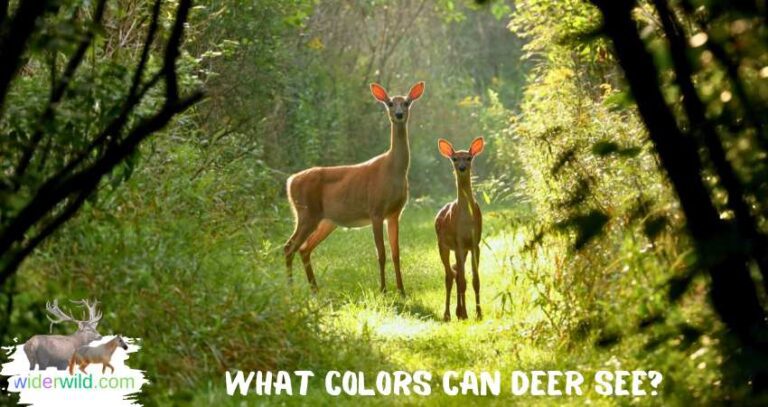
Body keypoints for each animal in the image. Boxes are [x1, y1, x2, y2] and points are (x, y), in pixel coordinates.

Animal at [284, 81, 425, 295]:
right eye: (390, 103)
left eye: (407, 102)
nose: (399, 114)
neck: (393, 170)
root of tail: (290, 181)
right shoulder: (376, 210)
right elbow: (381, 253)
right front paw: (383, 290)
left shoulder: (394, 213)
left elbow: (396, 253)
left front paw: (402, 291)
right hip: (307, 213)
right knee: (289, 247)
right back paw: (291, 291)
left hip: (326, 221)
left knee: (304, 248)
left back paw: (314, 290)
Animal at [434, 137, 485, 321]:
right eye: (455, 159)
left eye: (469, 158)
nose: (462, 168)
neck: (466, 220)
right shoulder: (458, 243)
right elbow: (463, 281)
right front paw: (466, 313)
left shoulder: (475, 243)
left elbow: (475, 280)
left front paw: (478, 313)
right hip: (442, 245)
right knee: (450, 275)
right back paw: (449, 314)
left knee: (456, 272)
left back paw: (459, 311)